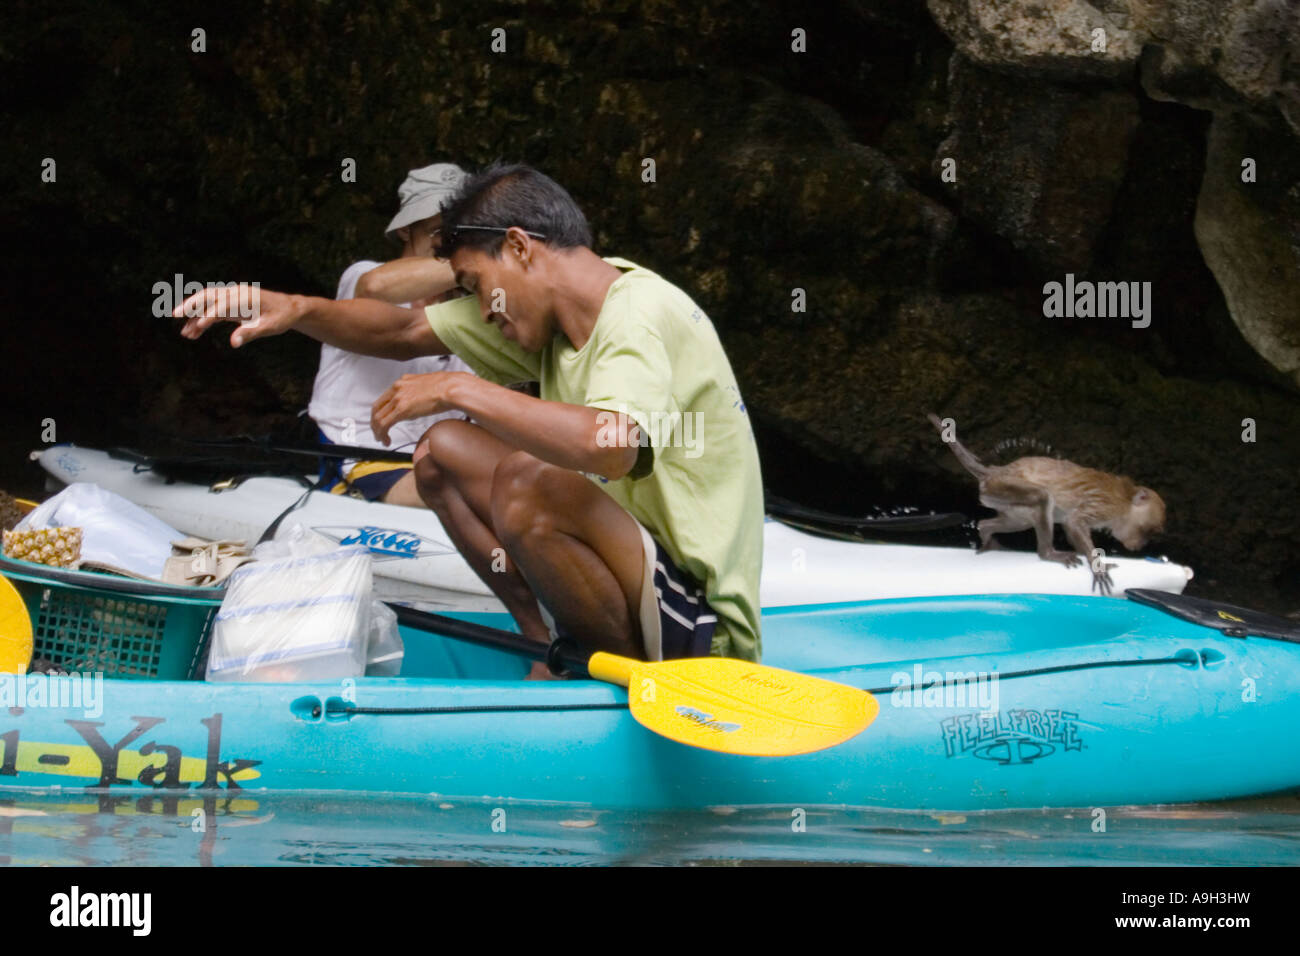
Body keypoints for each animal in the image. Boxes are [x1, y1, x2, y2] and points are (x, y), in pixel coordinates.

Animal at [927, 413, 1166, 595]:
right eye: (1147, 531)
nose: (1140, 545)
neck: (1126, 500)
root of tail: (995, 471)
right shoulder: (1107, 506)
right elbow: (1074, 522)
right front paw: (1097, 565)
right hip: (998, 487)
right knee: (1043, 497)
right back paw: (1047, 553)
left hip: (1000, 498)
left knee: (1016, 521)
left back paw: (986, 532)